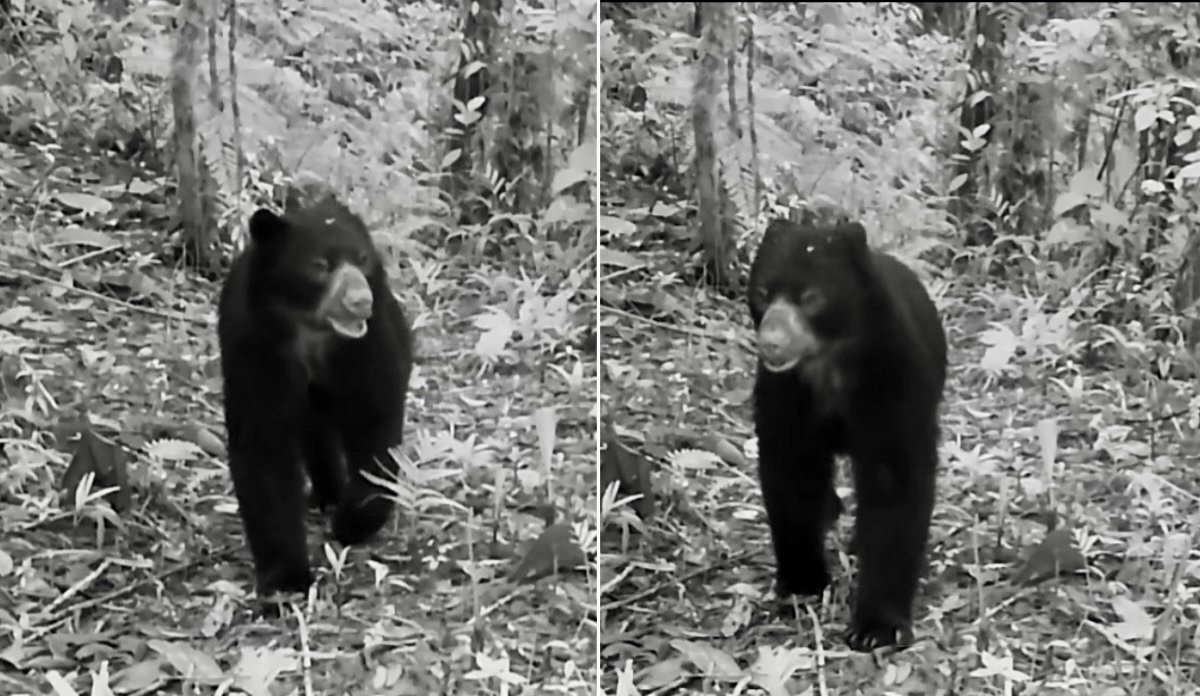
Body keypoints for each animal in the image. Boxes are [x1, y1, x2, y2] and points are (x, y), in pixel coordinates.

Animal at [217, 194, 412, 599]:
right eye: (320, 265)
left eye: (362, 259)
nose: (360, 300)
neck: (310, 330)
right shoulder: (253, 344)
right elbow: (263, 448)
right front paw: (285, 580)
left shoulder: (369, 343)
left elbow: (376, 416)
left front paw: (353, 521)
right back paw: (324, 493)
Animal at [747, 218, 947, 651]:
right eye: (762, 292)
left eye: (811, 297)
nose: (771, 342)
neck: (830, 362)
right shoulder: (785, 391)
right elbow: (791, 472)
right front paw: (802, 586)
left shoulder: (895, 383)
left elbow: (896, 483)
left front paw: (877, 626)